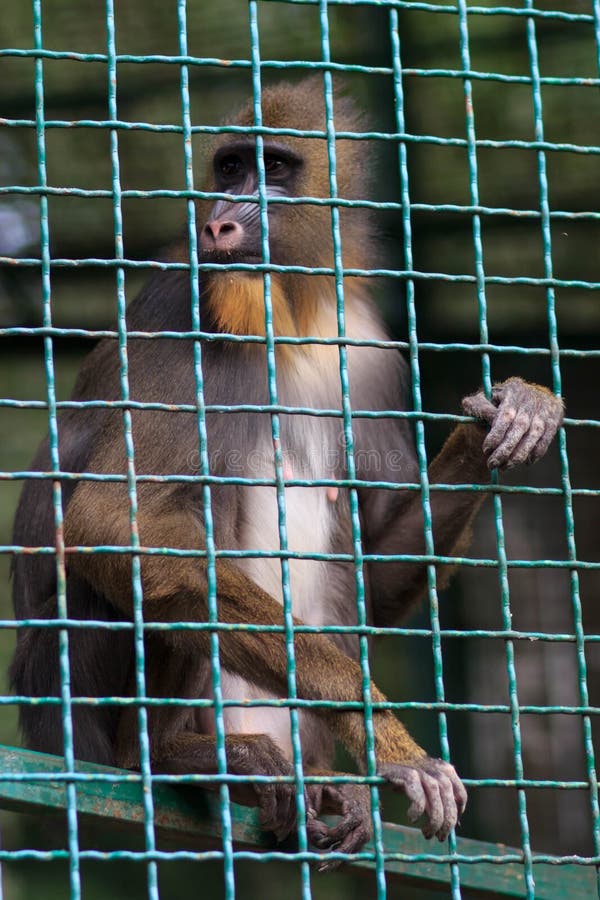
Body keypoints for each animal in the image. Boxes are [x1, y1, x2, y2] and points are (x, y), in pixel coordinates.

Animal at [10, 78, 563, 859]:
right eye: (229, 168)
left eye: (272, 168)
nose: (219, 226)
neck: (293, 317)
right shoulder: (181, 309)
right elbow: (113, 522)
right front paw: (386, 736)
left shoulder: (370, 350)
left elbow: (377, 566)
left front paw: (516, 415)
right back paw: (186, 757)